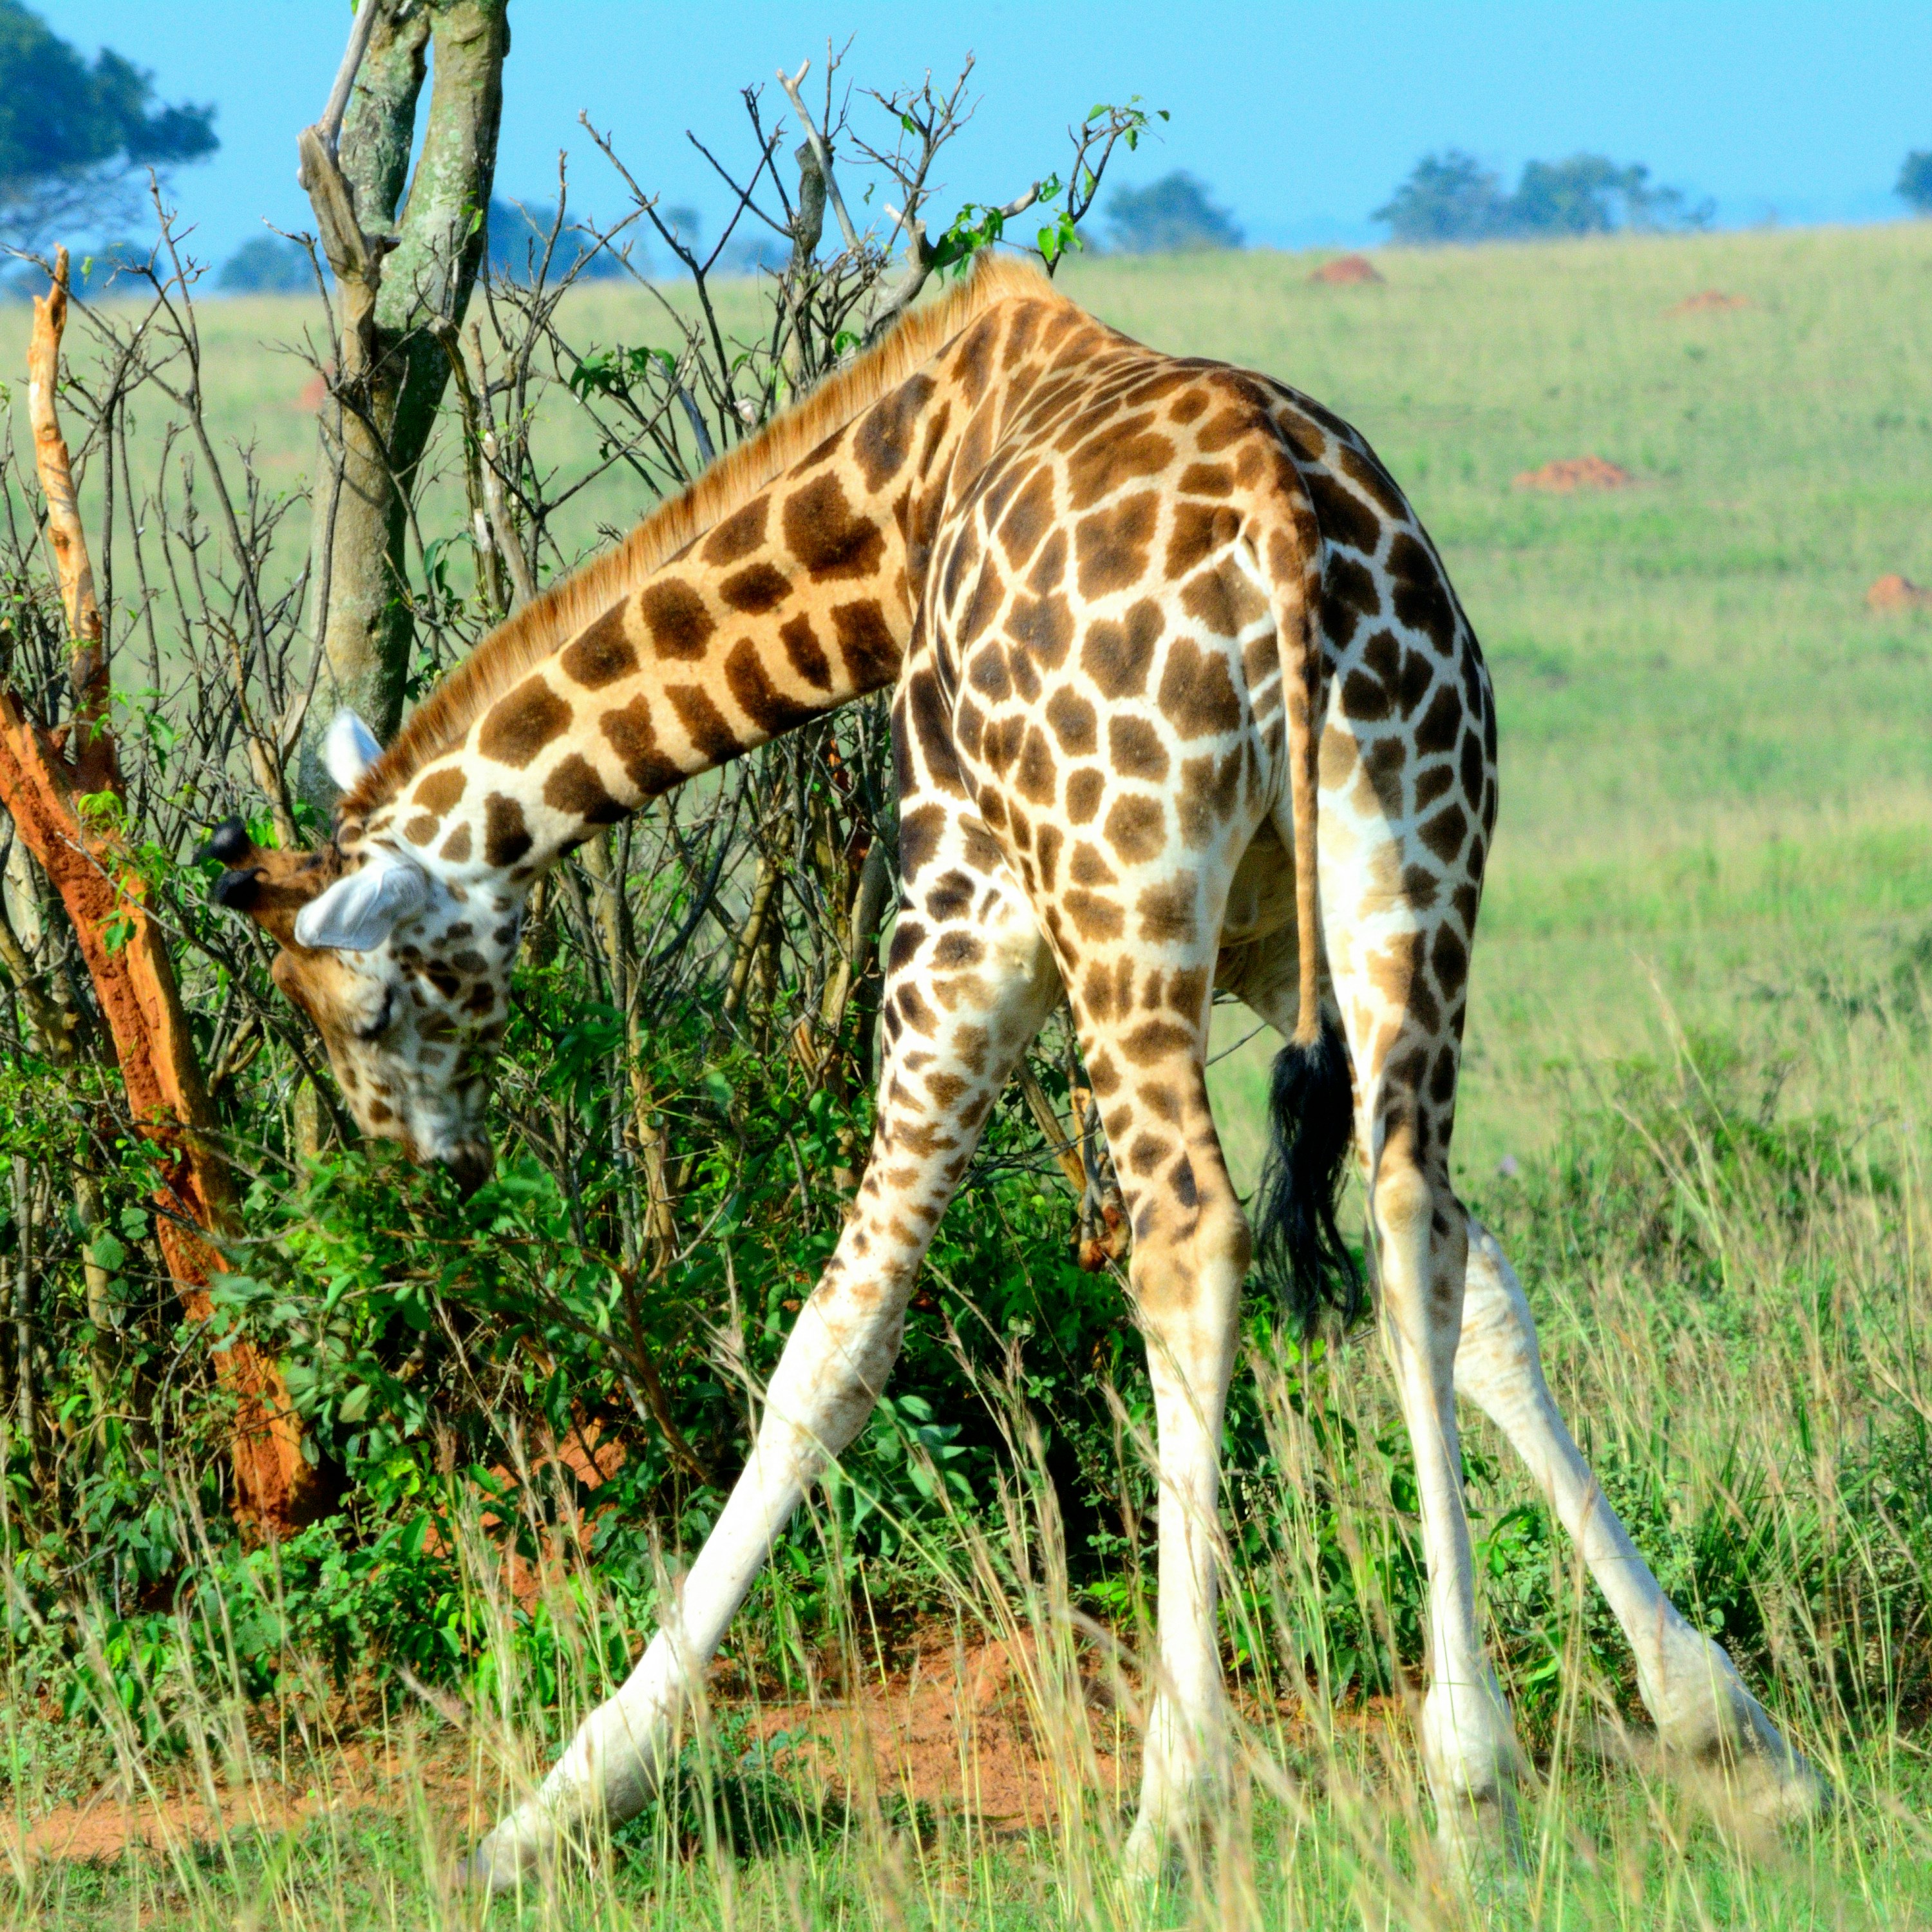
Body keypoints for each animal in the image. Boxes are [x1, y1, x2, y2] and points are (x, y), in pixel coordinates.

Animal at [207, 254, 1819, 1885]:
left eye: (353, 1012)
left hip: (1120, 899)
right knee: (1416, 1224)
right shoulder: (1271, 946)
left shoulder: (962, 930)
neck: (889, 502)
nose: (426, 1161)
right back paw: (1473, 1784)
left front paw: (554, 1804)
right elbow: (1478, 1294)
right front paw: (1726, 1736)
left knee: (1187, 1243)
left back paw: (1171, 1811)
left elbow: (828, 1348)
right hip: (1407, 868)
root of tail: (1292, 538)